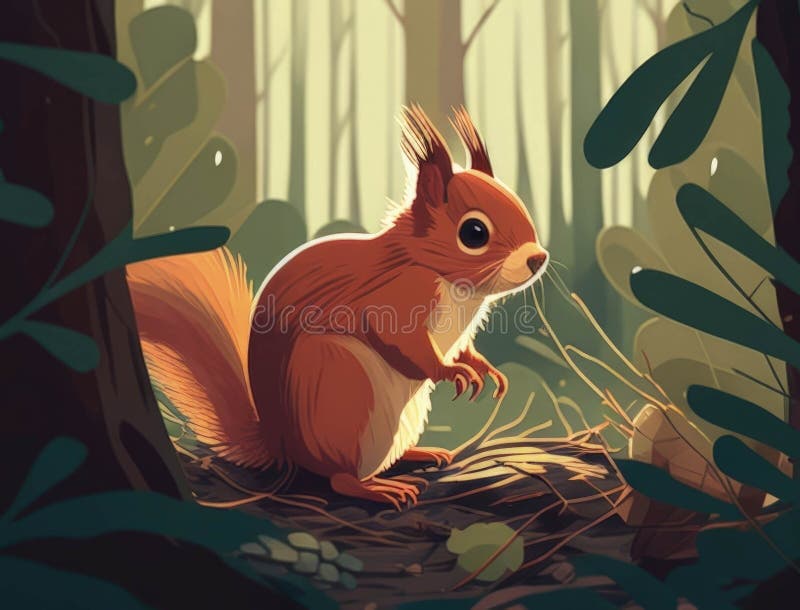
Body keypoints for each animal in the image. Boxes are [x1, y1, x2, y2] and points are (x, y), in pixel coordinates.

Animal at [128, 106, 548, 508]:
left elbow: (463, 347)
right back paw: (377, 488)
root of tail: (284, 447)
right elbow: (402, 342)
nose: (538, 258)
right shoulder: (398, 297)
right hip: (343, 388)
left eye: (519, 204)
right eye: (474, 233)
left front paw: (483, 366)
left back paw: (419, 454)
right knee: (339, 478)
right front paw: (451, 371)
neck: (443, 276)